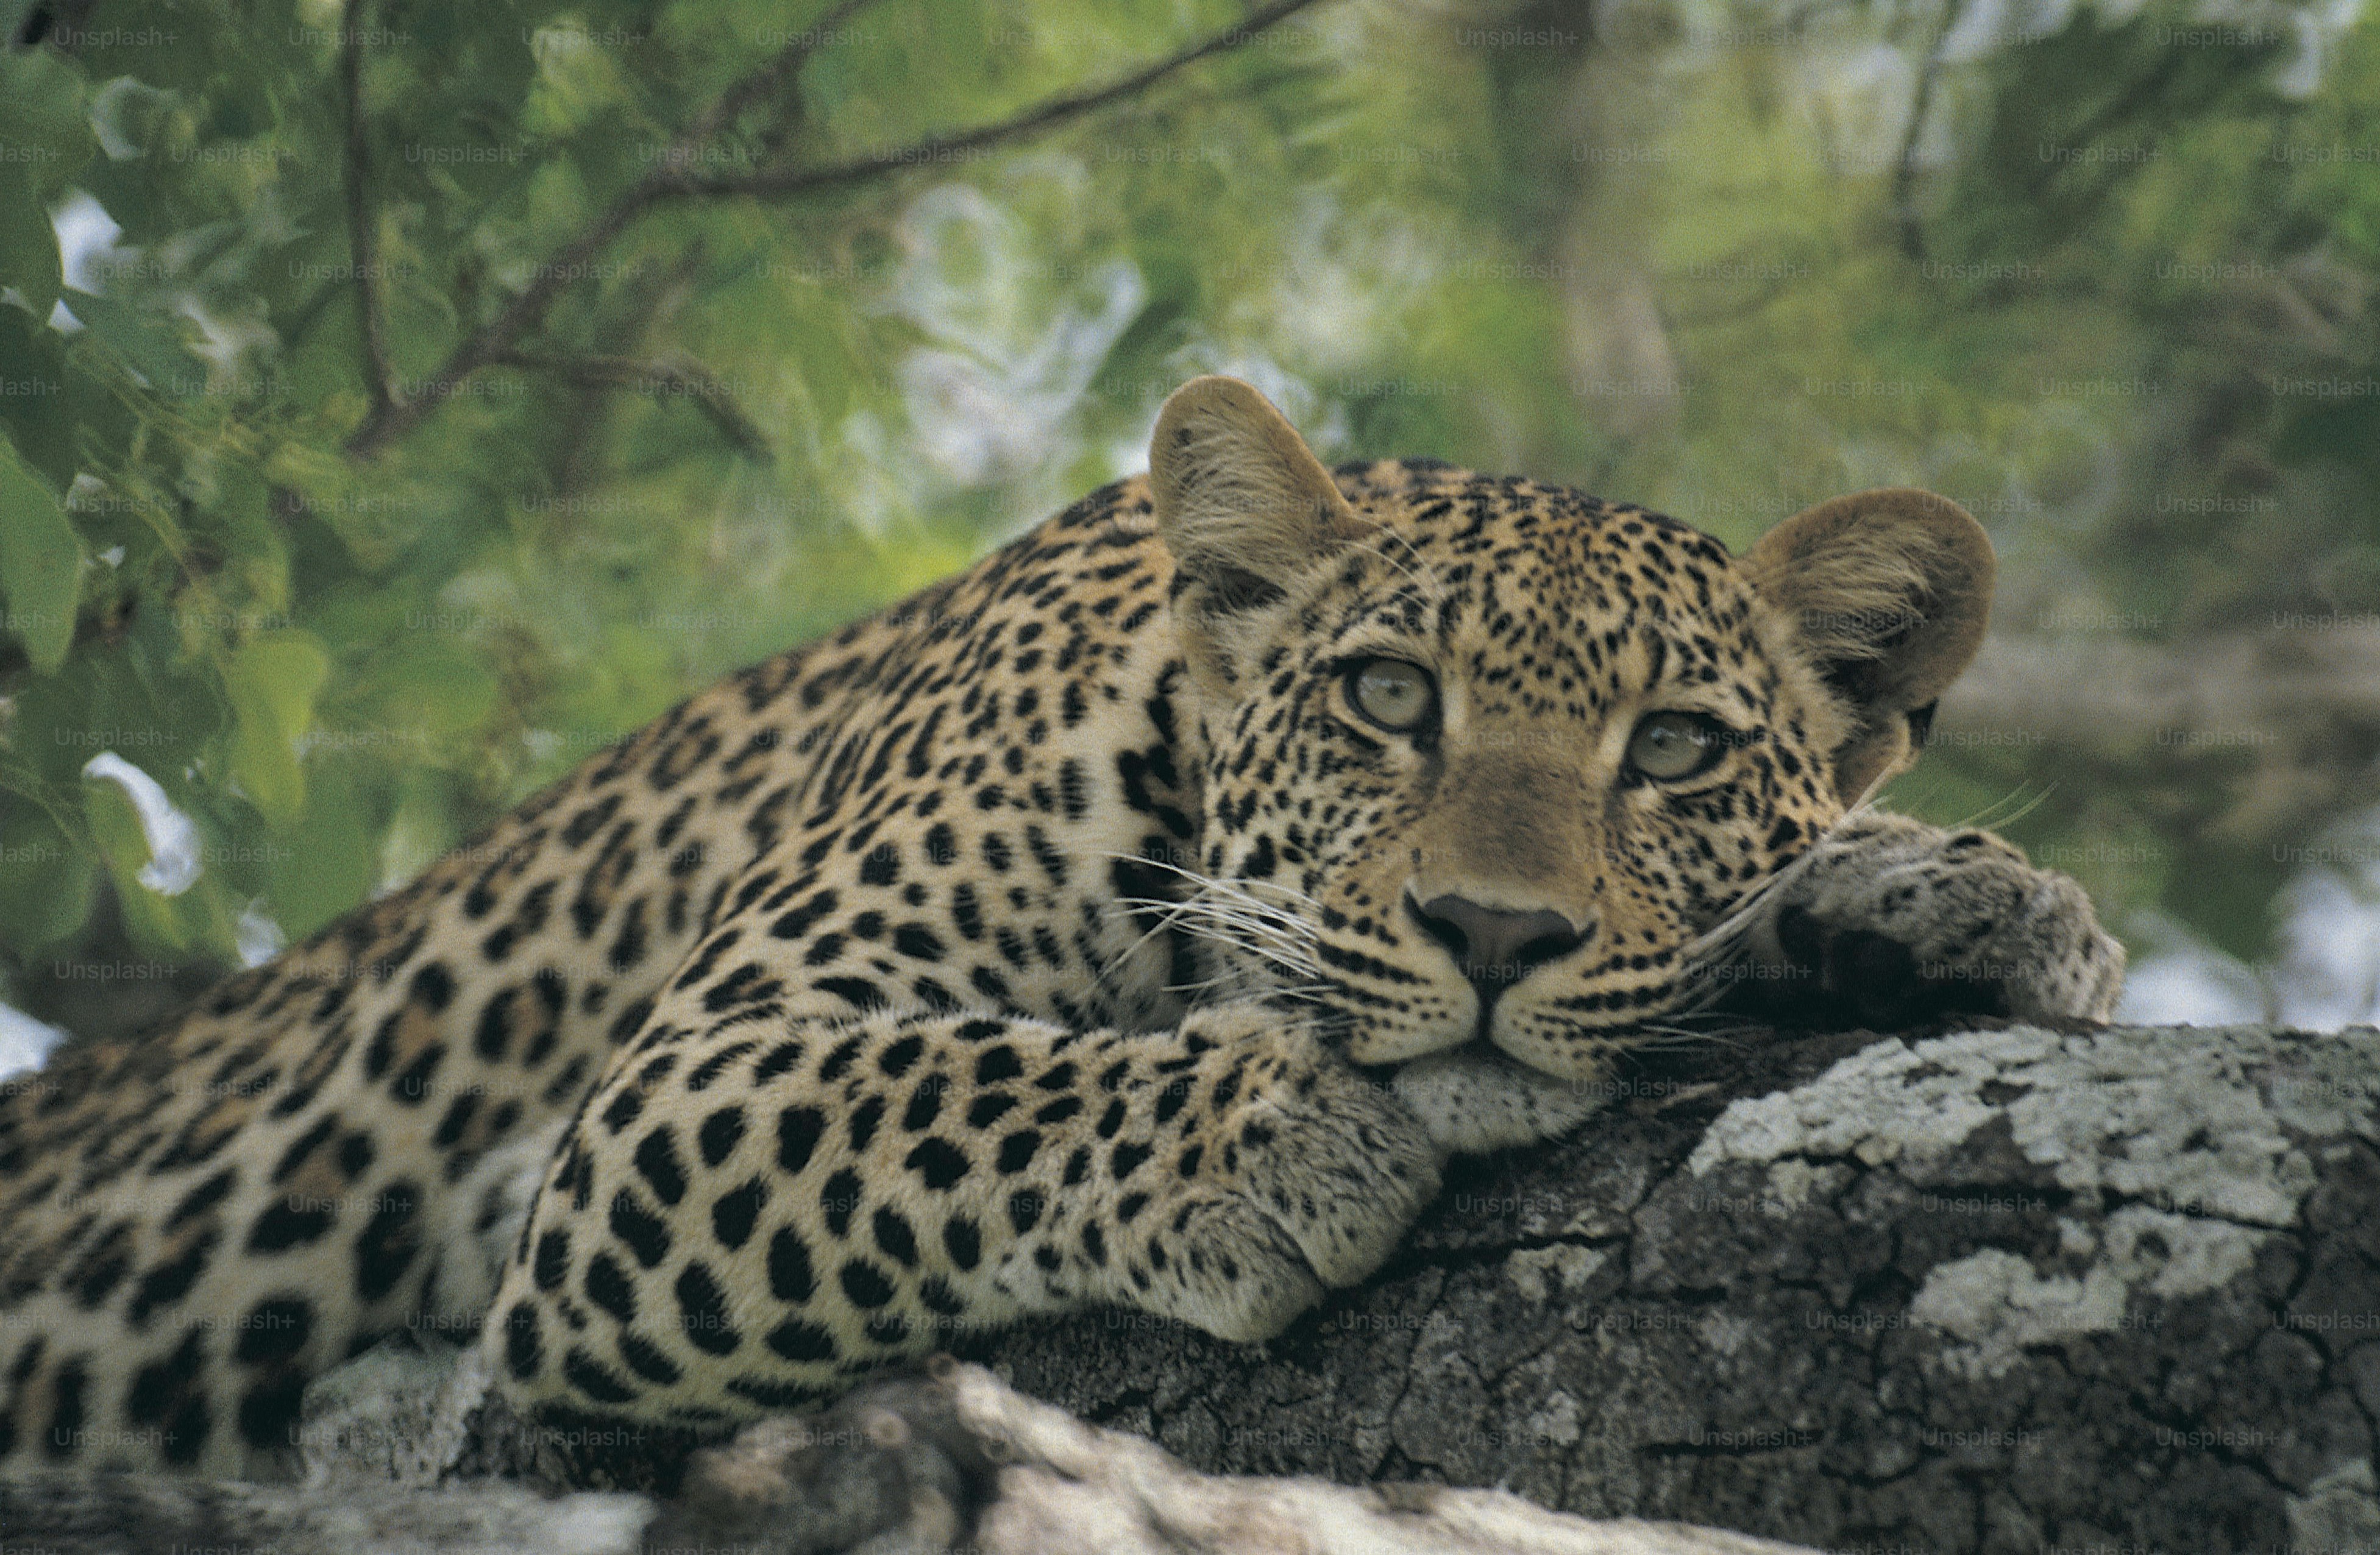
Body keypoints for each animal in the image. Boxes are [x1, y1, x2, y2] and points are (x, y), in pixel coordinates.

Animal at [0, 375, 2124, 1482]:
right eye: (1385, 699)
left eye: (1672, 749)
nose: (1490, 933)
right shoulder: (673, 1092)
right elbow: (941, 1090)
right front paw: (1264, 1140)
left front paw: (1955, 894)